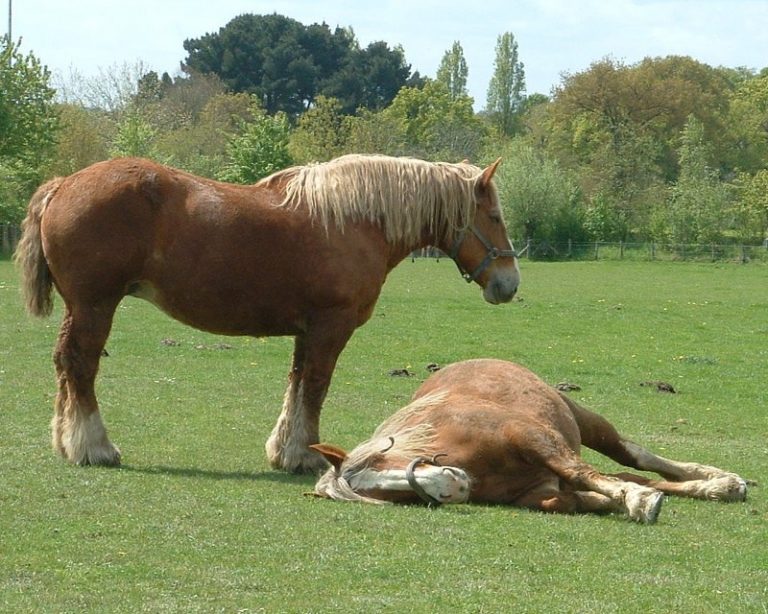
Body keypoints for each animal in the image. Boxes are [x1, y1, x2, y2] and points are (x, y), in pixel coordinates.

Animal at [15, 154, 519, 473]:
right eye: (494, 216)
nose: (509, 283)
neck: (354, 222)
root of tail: (64, 184)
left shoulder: (307, 330)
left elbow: (296, 385)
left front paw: (286, 451)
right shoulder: (330, 326)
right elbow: (315, 387)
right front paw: (306, 455)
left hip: (82, 309)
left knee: (65, 365)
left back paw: (67, 442)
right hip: (95, 306)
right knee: (81, 365)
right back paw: (93, 446)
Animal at [311, 359, 747, 523]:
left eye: (381, 463)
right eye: (387, 495)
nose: (451, 485)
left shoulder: (534, 436)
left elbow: (584, 472)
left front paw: (639, 503)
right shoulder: (539, 491)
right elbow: (570, 498)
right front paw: (612, 500)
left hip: (585, 421)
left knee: (635, 458)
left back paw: (718, 478)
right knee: (630, 474)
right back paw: (717, 488)